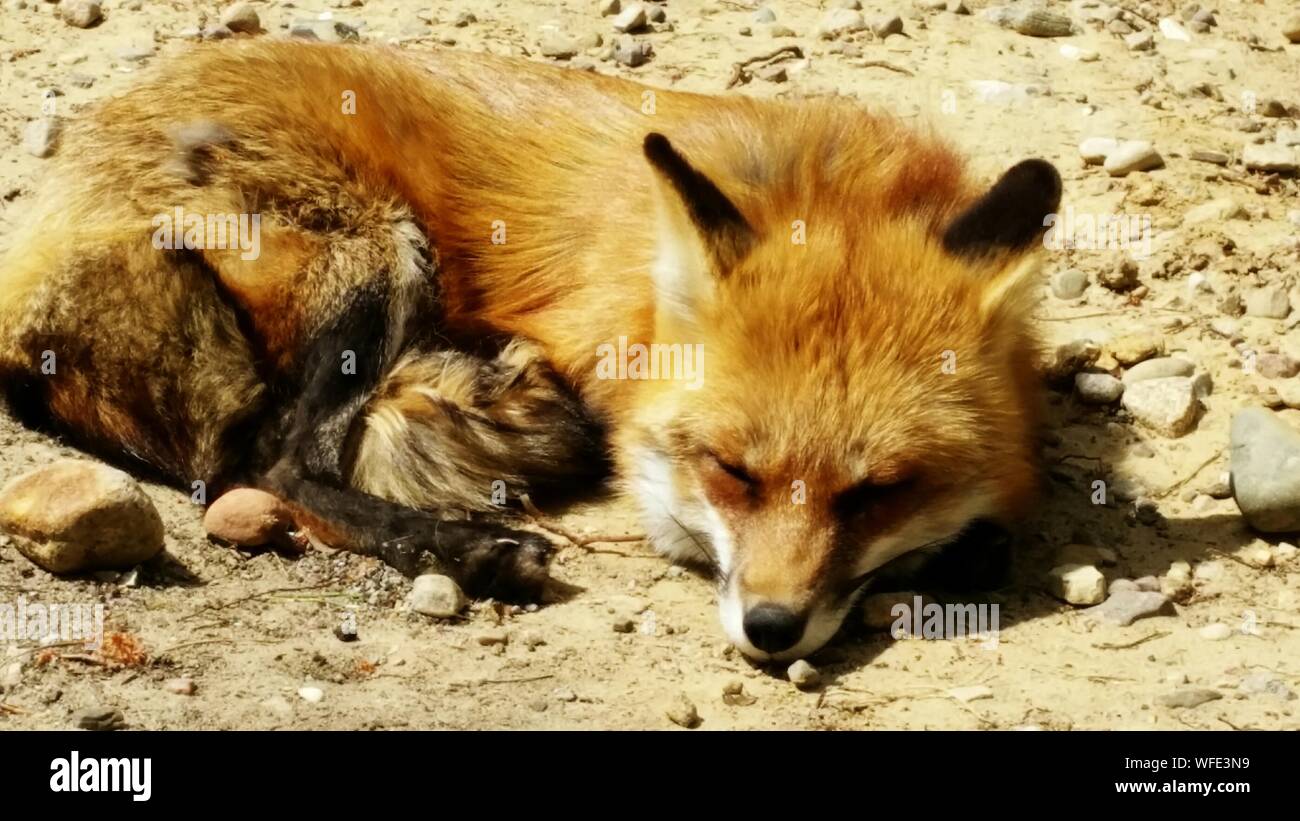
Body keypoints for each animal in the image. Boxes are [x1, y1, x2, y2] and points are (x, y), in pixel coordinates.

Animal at [0, 40, 1060, 661]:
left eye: (876, 492)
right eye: (732, 471)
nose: (772, 628)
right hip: (380, 252)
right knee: (274, 466)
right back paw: (470, 550)